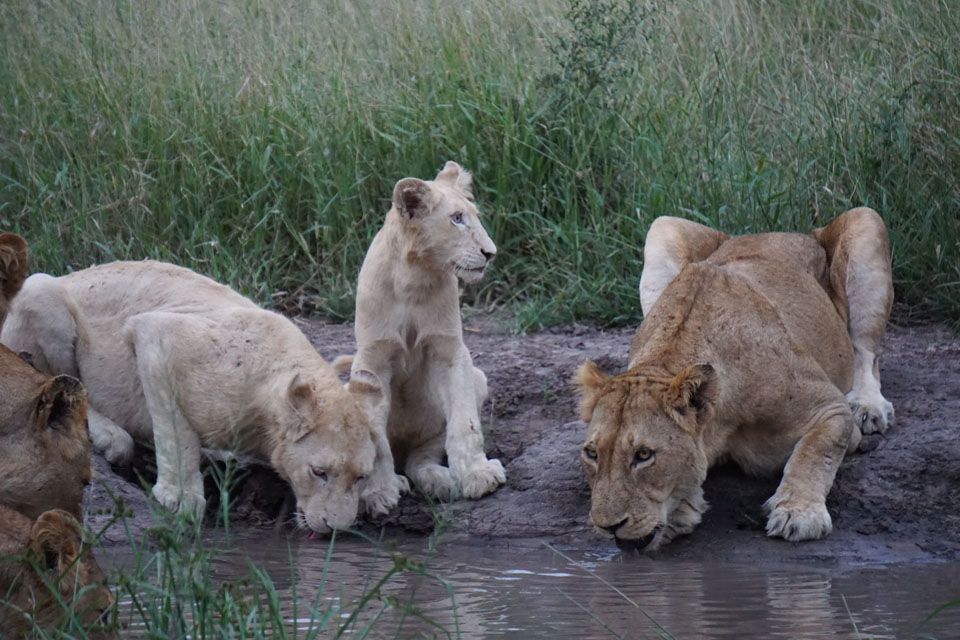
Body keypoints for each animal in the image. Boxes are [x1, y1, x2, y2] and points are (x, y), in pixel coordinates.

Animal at [1, 260, 387, 534]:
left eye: (360, 476)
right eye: (319, 472)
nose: (335, 528)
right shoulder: (166, 338)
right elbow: (174, 424)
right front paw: (180, 499)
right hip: (40, 293)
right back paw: (112, 437)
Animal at [337, 161, 505, 510]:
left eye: (475, 215)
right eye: (457, 218)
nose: (490, 252)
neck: (415, 277)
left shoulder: (450, 350)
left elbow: (465, 423)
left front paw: (478, 475)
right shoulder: (372, 361)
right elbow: (376, 441)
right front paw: (378, 493)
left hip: (475, 381)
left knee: (421, 458)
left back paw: (441, 480)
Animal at [574, 208, 893, 549]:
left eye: (643, 455)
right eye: (592, 453)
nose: (608, 527)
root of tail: (791, 232)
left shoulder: (831, 408)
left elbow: (815, 452)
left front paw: (798, 513)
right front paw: (682, 509)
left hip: (867, 222)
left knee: (865, 353)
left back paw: (868, 407)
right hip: (662, 226)